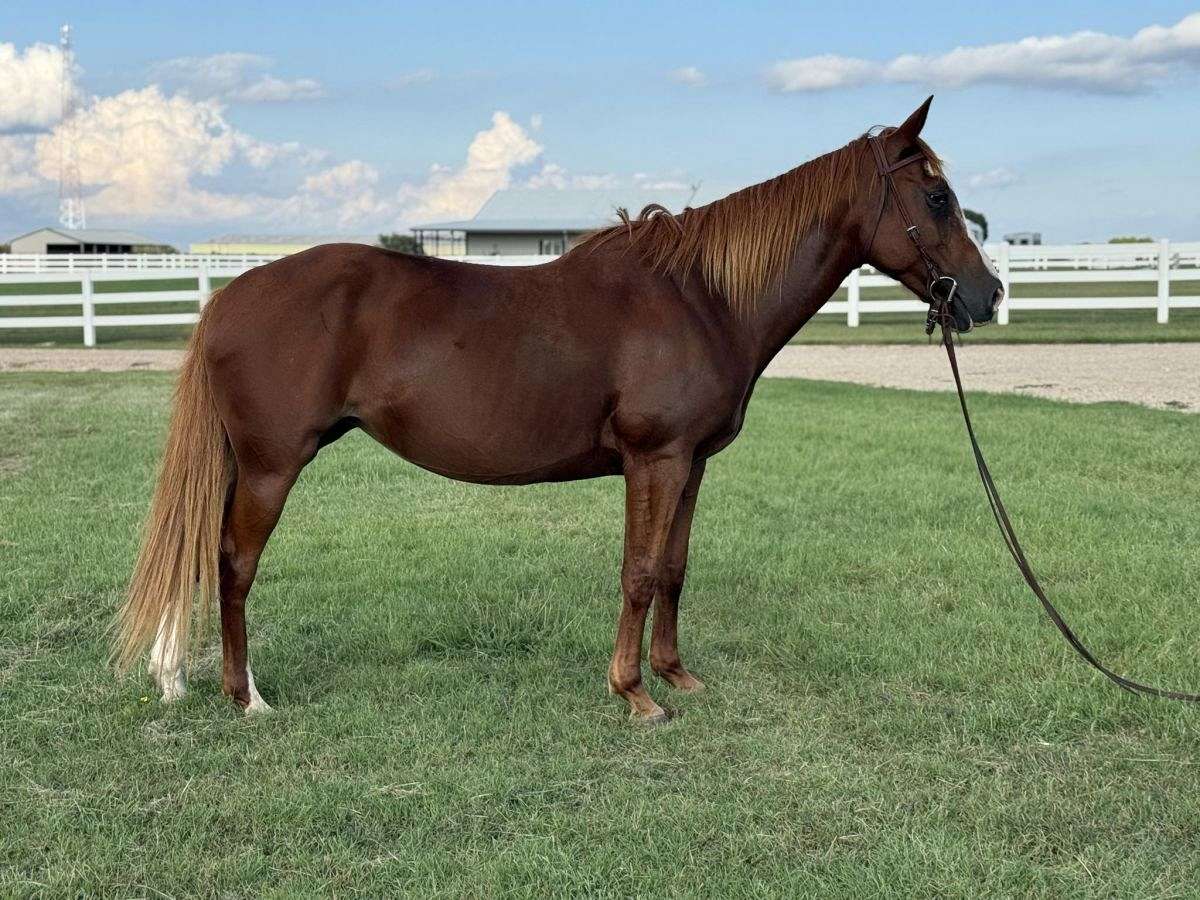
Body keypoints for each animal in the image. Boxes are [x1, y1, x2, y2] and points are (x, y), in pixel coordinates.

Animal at [115, 97, 1003, 724]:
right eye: (936, 195)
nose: (988, 296)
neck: (702, 299)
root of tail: (229, 297)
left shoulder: (691, 464)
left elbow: (673, 569)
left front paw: (678, 675)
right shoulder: (655, 459)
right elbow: (638, 572)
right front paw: (636, 694)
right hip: (271, 466)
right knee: (234, 564)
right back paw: (247, 697)